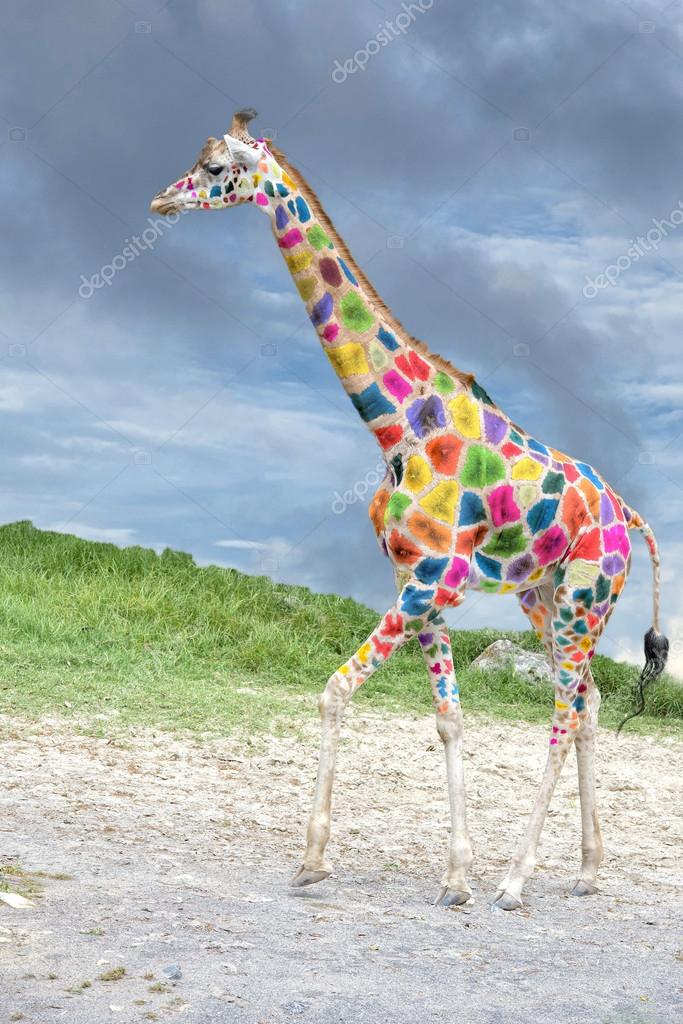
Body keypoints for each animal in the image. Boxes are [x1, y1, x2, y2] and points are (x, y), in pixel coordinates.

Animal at [151, 109, 669, 910]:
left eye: (213, 168)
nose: (160, 201)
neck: (397, 423)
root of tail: (629, 515)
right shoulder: (415, 582)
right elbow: (449, 718)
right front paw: (455, 877)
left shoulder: (429, 581)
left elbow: (334, 691)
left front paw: (313, 861)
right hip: (546, 598)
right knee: (585, 710)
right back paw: (586, 870)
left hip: (587, 596)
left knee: (560, 715)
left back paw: (516, 880)